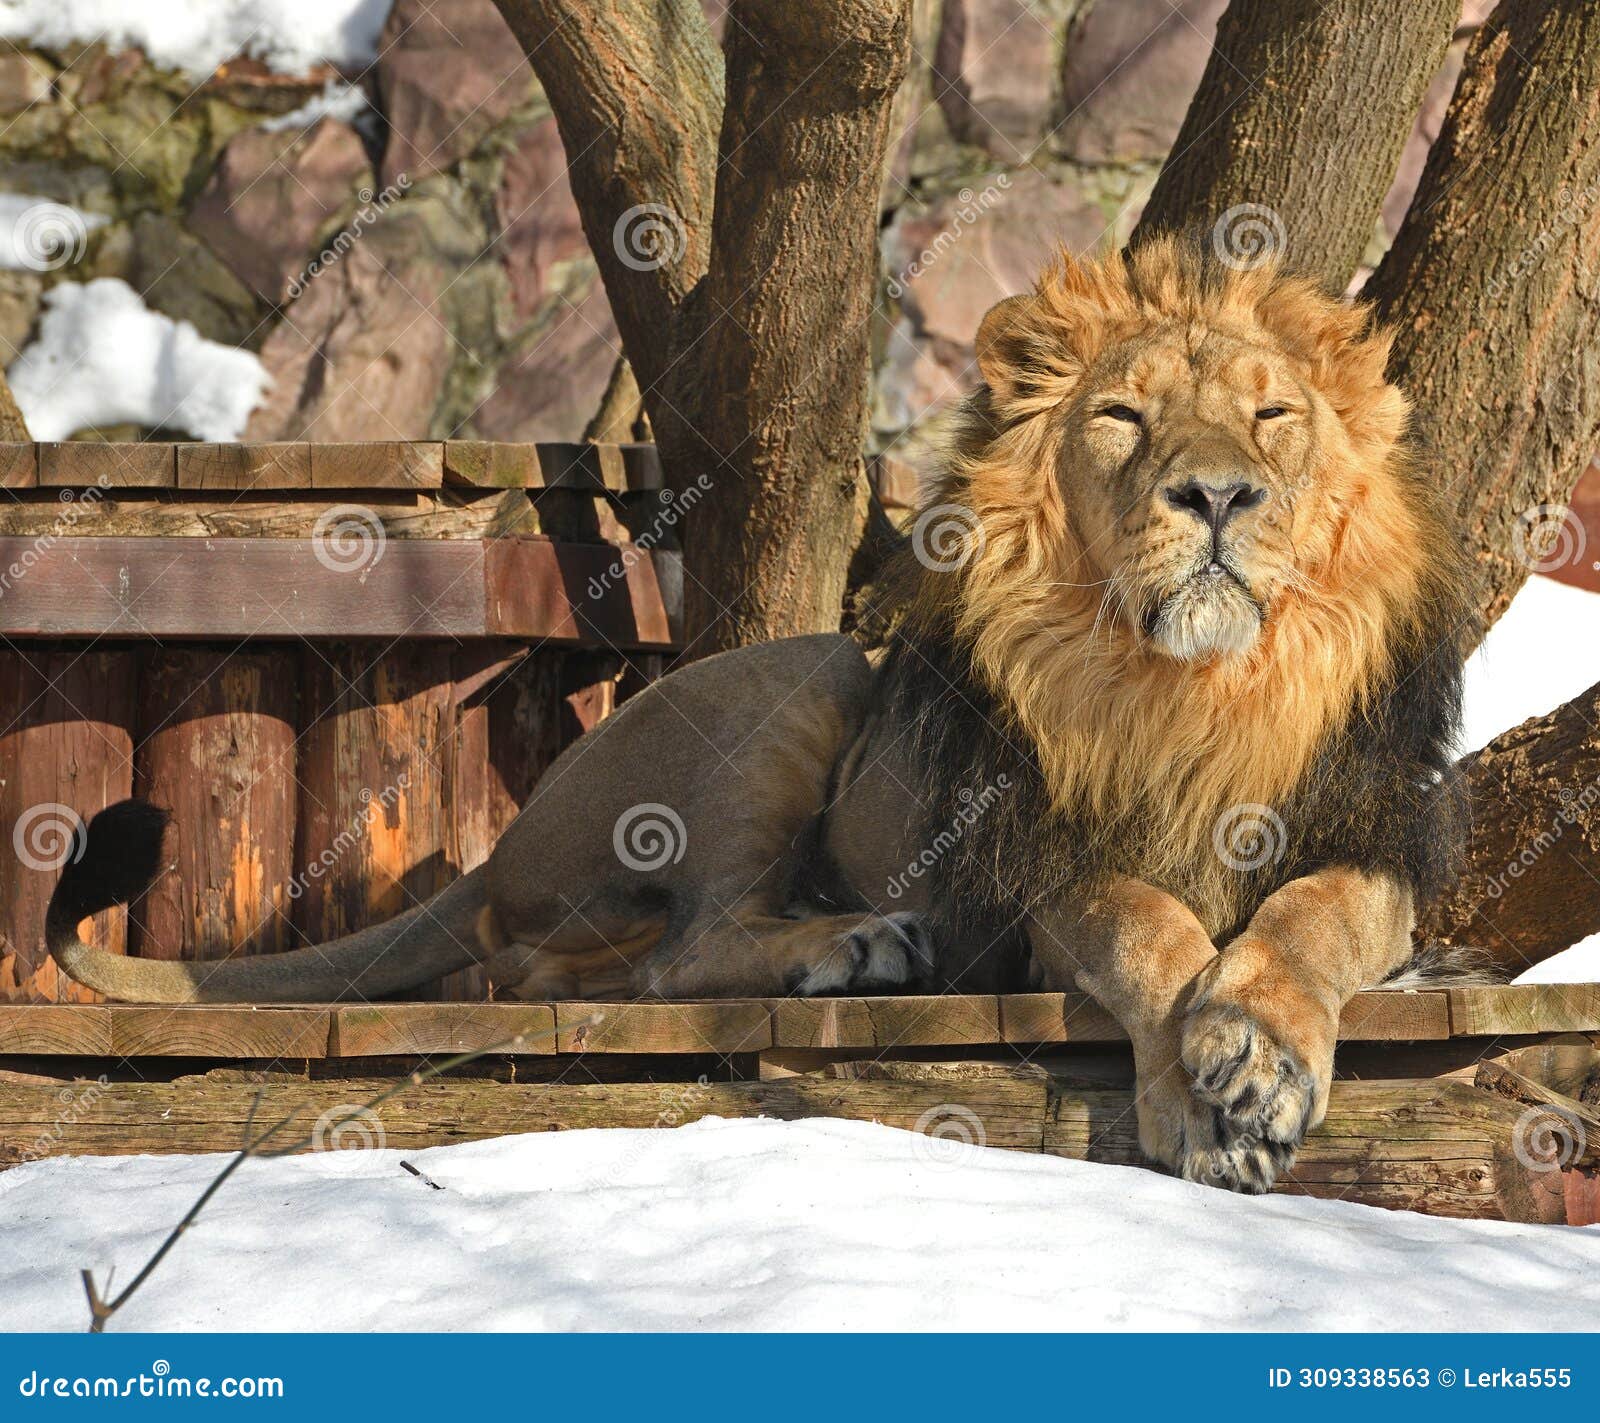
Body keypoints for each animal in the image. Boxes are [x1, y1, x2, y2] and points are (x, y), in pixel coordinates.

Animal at [46, 237, 1474, 1193]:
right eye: (1122, 417)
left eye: (1271, 413)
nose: (1219, 495)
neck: (1193, 685)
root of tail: (500, 851)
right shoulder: (1022, 860)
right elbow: (1144, 923)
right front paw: (1194, 1098)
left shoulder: (1373, 832)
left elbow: (1309, 919)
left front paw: (1261, 1051)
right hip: (805, 679)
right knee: (664, 955)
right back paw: (853, 947)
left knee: (569, 967)